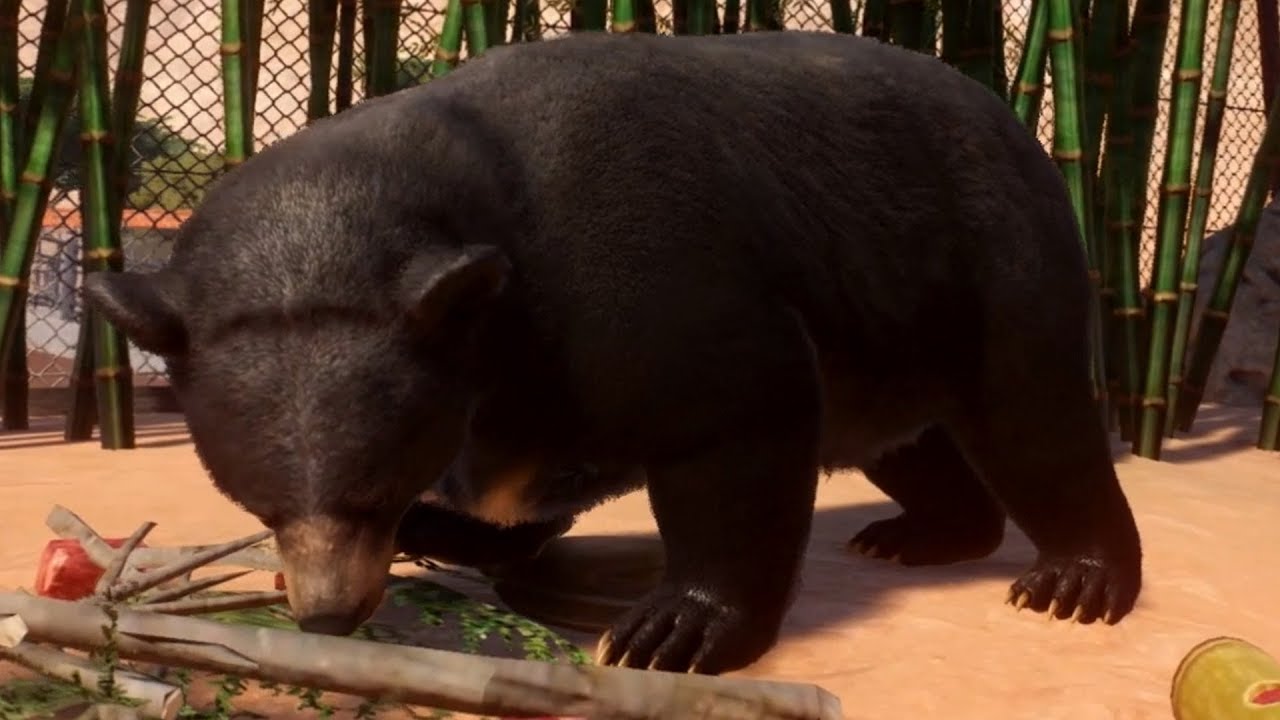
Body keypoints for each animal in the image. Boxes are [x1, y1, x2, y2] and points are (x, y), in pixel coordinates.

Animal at [80, 29, 1144, 676]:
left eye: (371, 493)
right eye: (259, 504)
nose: (329, 616)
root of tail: (1010, 112)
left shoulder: (648, 272)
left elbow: (739, 416)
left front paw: (675, 630)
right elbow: (519, 488)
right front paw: (459, 530)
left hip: (994, 252)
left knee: (1031, 415)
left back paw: (1076, 582)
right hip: (887, 316)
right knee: (907, 442)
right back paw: (915, 535)